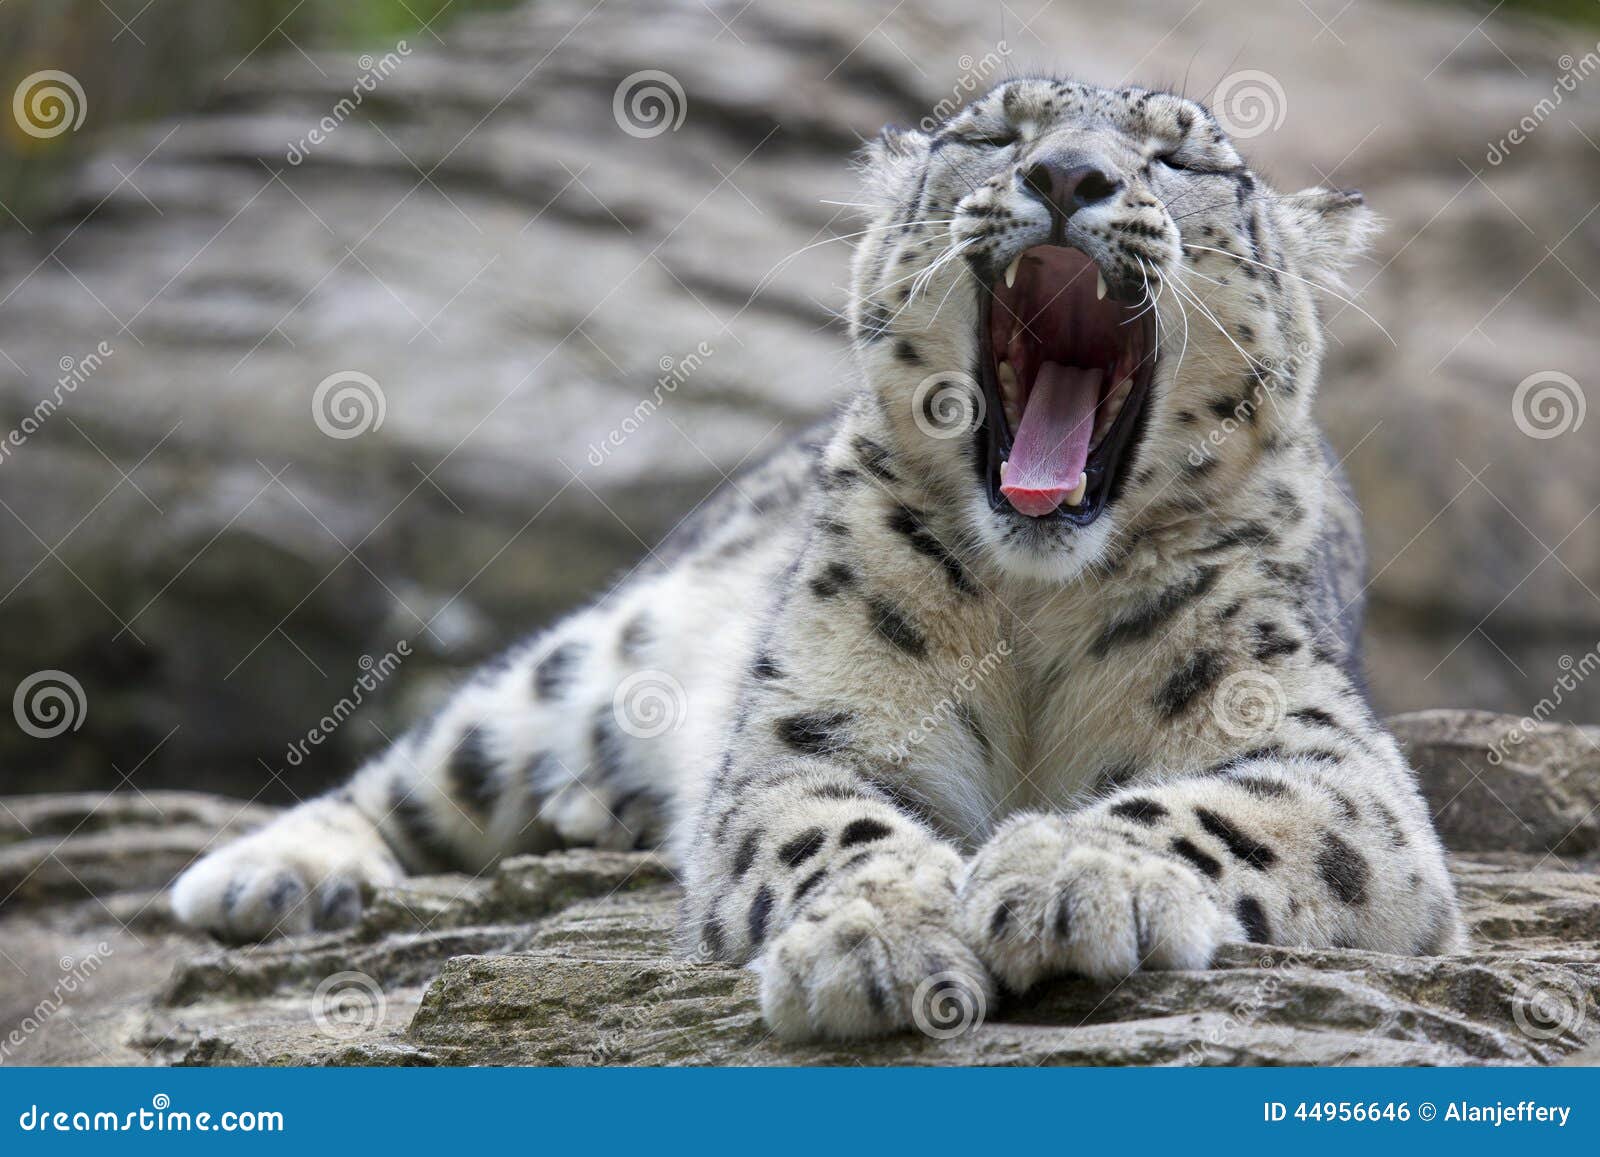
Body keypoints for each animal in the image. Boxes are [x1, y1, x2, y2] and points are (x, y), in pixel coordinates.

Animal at [171, 77, 1463, 1042]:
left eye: (1183, 158)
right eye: (992, 134)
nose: (1065, 177)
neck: (1036, 607)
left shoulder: (1322, 750)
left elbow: (1225, 806)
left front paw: (1069, 872)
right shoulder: (812, 722)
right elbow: (823, 824)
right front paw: (877, 940)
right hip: (588, 656)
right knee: (432, 763)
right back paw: (265, 873)